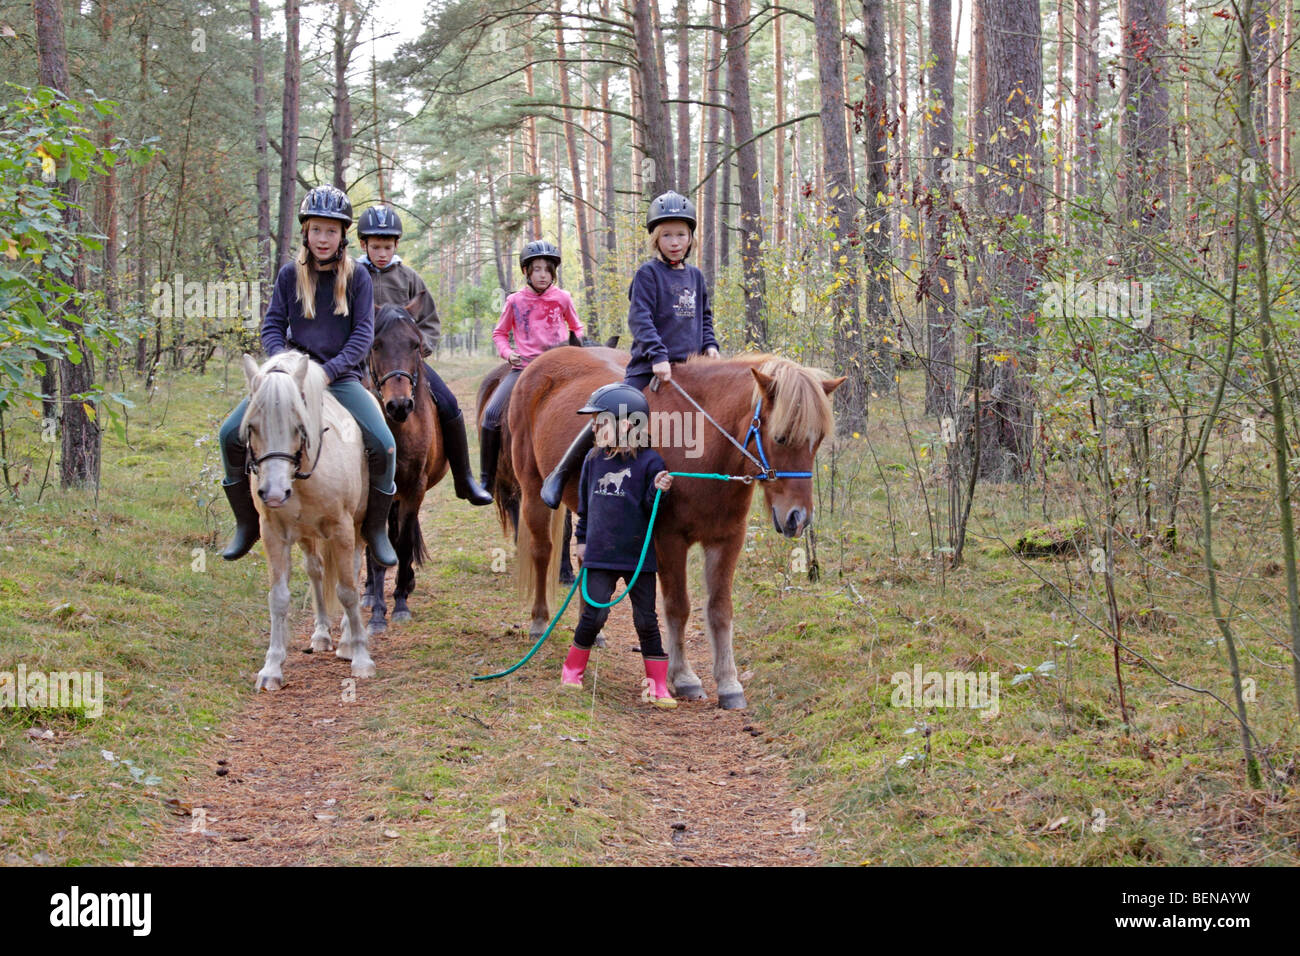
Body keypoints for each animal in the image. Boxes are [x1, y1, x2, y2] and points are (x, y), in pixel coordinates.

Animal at [238, 350, 374, 690]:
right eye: (252, 426)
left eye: (298, 425)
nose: (274, 493)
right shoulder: (273, 533)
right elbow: (278, 597)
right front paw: (271, 668)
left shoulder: (342, 529)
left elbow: (348, 590)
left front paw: (361, 658)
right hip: (306, 535)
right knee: (315, 570)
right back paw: (322, 635)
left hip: (356, 526)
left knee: (351, 571)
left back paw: (346, 641)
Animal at [361, 302, 448, 634]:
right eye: (376, 344)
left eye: (415, 344)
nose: (399, 406)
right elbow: (377, 549)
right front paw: (377, 613)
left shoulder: (414, 489)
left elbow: (404, 541)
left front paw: (400, 602)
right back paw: (368, 593)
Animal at [509, 347, 844, 709]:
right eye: (780, 438)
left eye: (817, 441)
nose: (799, 518)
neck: (704, 446)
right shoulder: (669, 538)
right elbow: (677, 606)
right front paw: (683, 677)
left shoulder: (727, 539)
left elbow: (720, 610)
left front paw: (729, 683)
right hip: (533, 490)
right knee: (542, 552)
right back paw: (539, 622)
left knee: (588, 559)